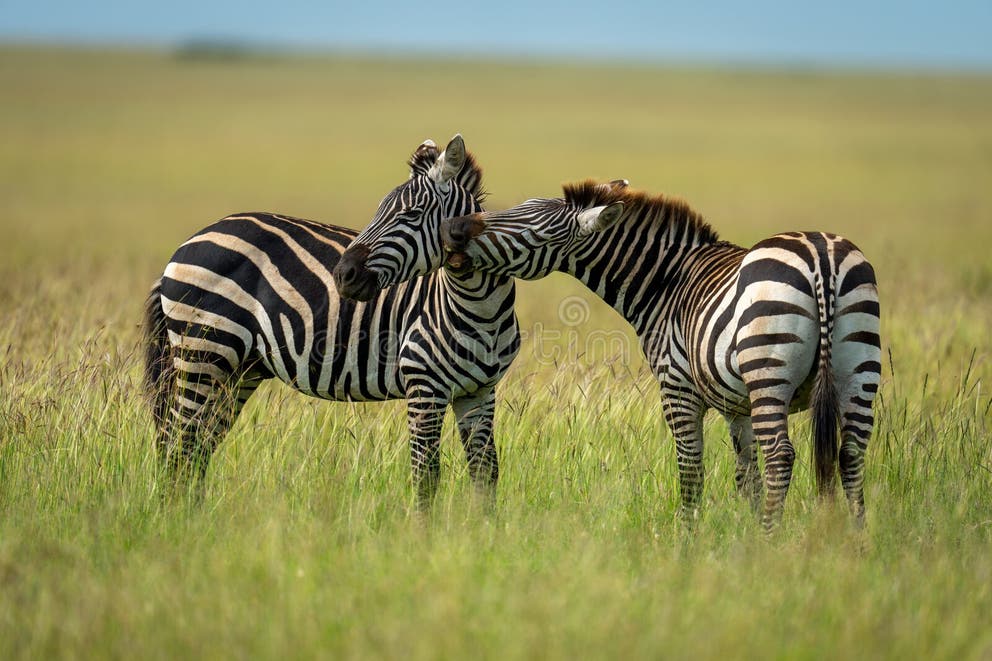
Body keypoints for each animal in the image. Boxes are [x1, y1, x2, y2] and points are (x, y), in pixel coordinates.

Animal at [143, 135, 519, 507]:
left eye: (412, 214)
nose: (342, 275)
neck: (479, 310)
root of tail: (188, 243)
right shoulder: (424, 388)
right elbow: (426, 477)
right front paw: (425, 526)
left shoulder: (480, 393)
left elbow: (486, 472)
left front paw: (481, 525)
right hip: (204, 351)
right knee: (180, 444)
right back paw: (178, 515)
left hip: (238, 371)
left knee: (199, 446)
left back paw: (194, 514)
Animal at [441, 180, 881, 530]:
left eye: (534, 232)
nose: (453, 228)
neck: (666, 281)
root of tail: (821, 256)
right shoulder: (736, 405)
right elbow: (746, 477)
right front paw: (747, 539)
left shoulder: (677, 388)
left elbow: (691, 471)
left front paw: (688, 543)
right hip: (858, 369)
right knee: (850, 455)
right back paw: (854, 546)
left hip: (768, 371)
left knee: (780, 457)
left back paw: (773, 544)